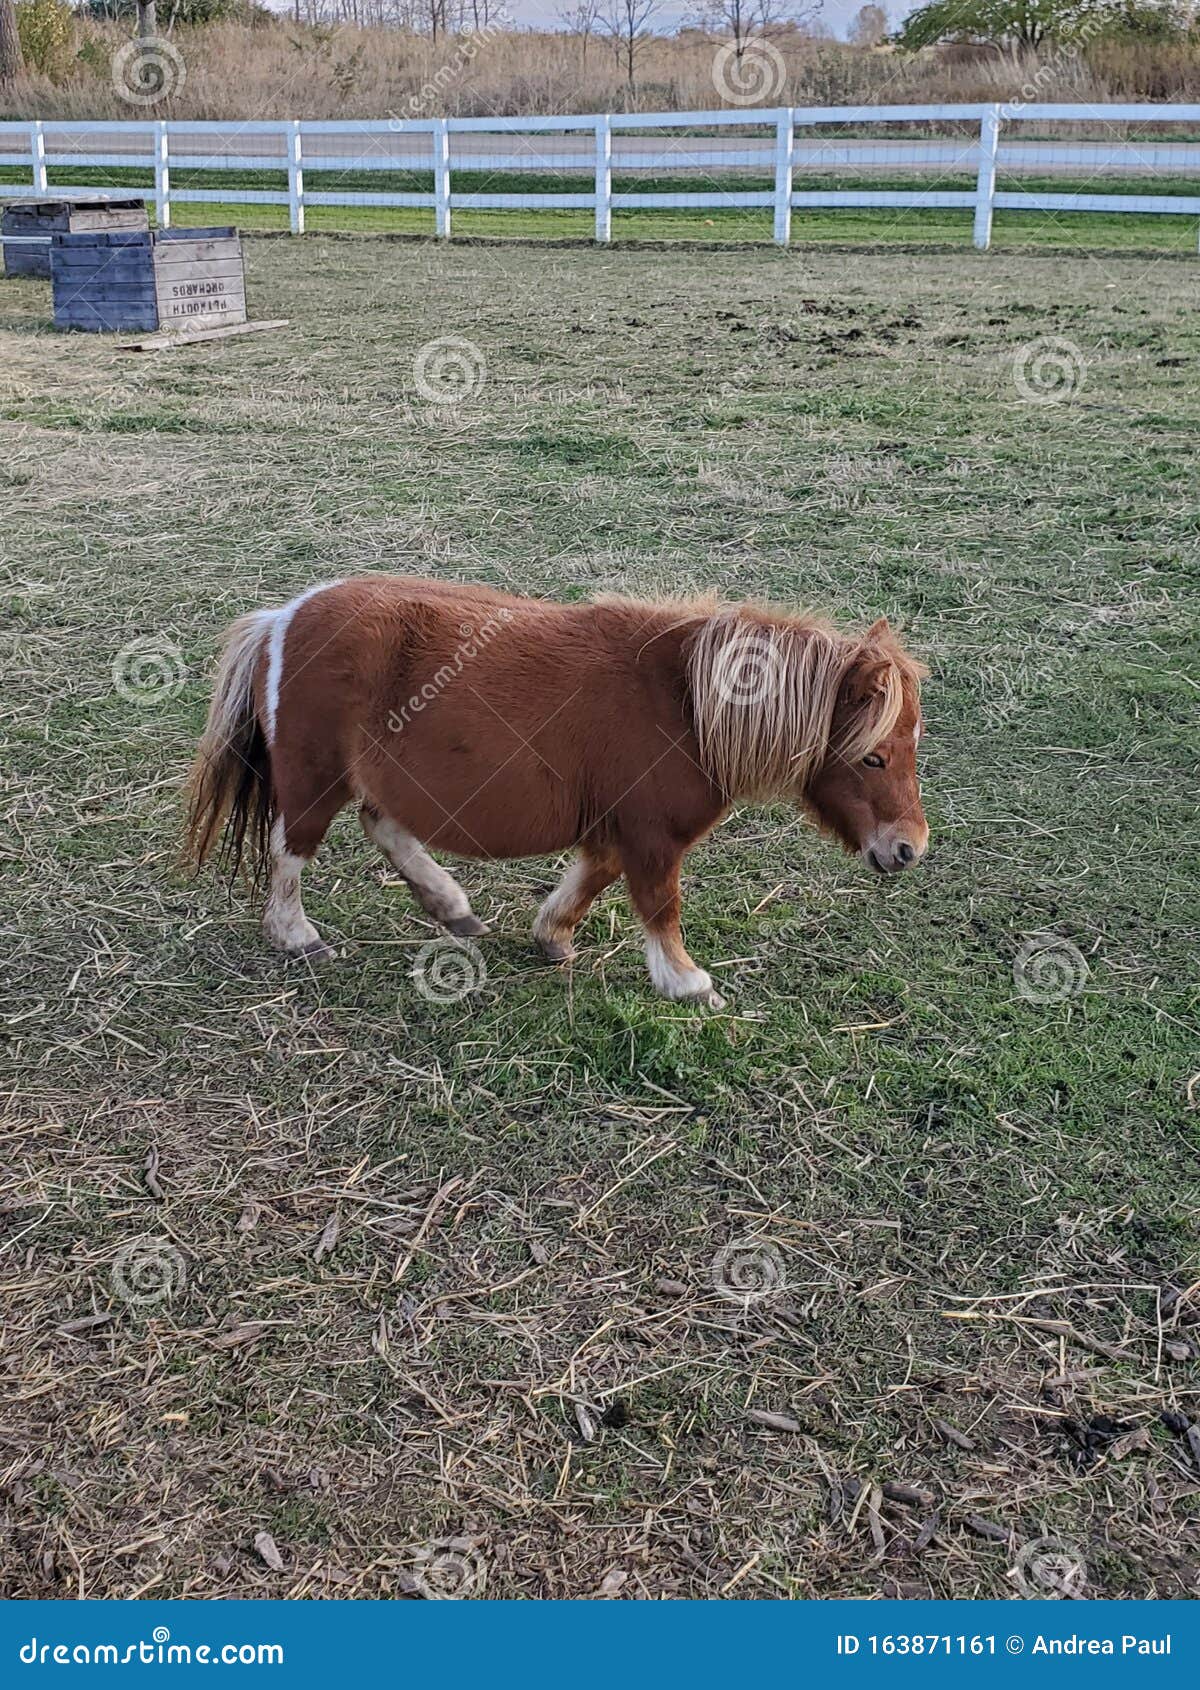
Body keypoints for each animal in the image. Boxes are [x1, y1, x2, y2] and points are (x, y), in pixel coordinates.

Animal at [185, 576, 929, 1008]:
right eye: (873, 756)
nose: (909, 850)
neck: (689, 706)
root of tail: (284, 616)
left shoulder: (616, 830)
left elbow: (591, 880)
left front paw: (552, 935)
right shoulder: (651, 836)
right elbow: (660, 905)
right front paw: (686, 981)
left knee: (382, 824)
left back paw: (451, 906)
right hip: (315, 777)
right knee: (293, 847)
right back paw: (296, 934)